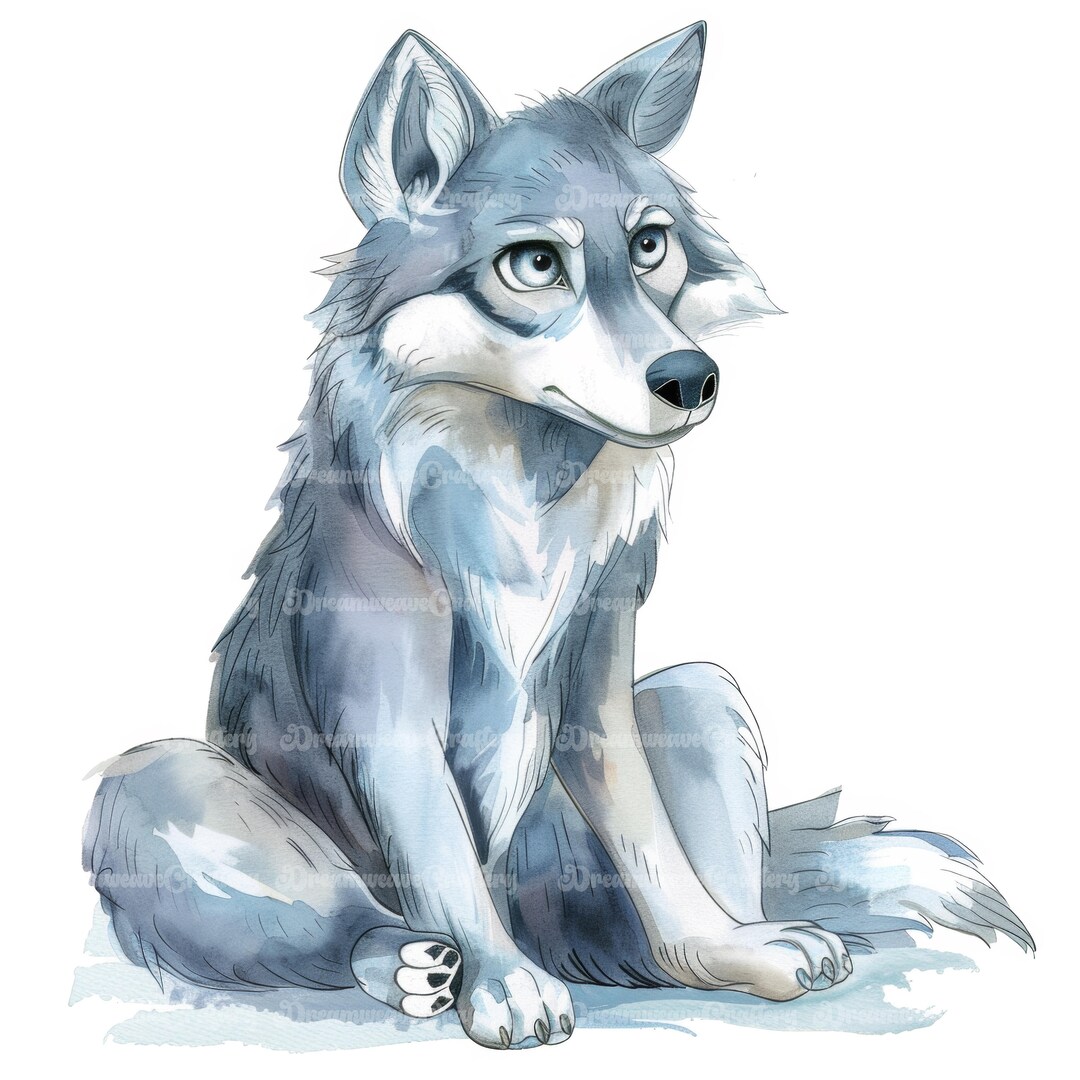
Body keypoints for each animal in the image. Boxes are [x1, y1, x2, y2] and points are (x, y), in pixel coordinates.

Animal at [83, 23, 1033, 1049]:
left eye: (650, 245)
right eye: (535, 264)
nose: (692, 378)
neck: (521, 490)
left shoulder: (599, 665)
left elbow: (652, 844)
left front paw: (720, 949)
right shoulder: (383, 705)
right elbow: (441, 859)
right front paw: (500, 984)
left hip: (701, 700)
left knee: (668, 919)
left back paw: (732, 943)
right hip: (149, 784)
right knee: (350, 921)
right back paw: (412, 964)